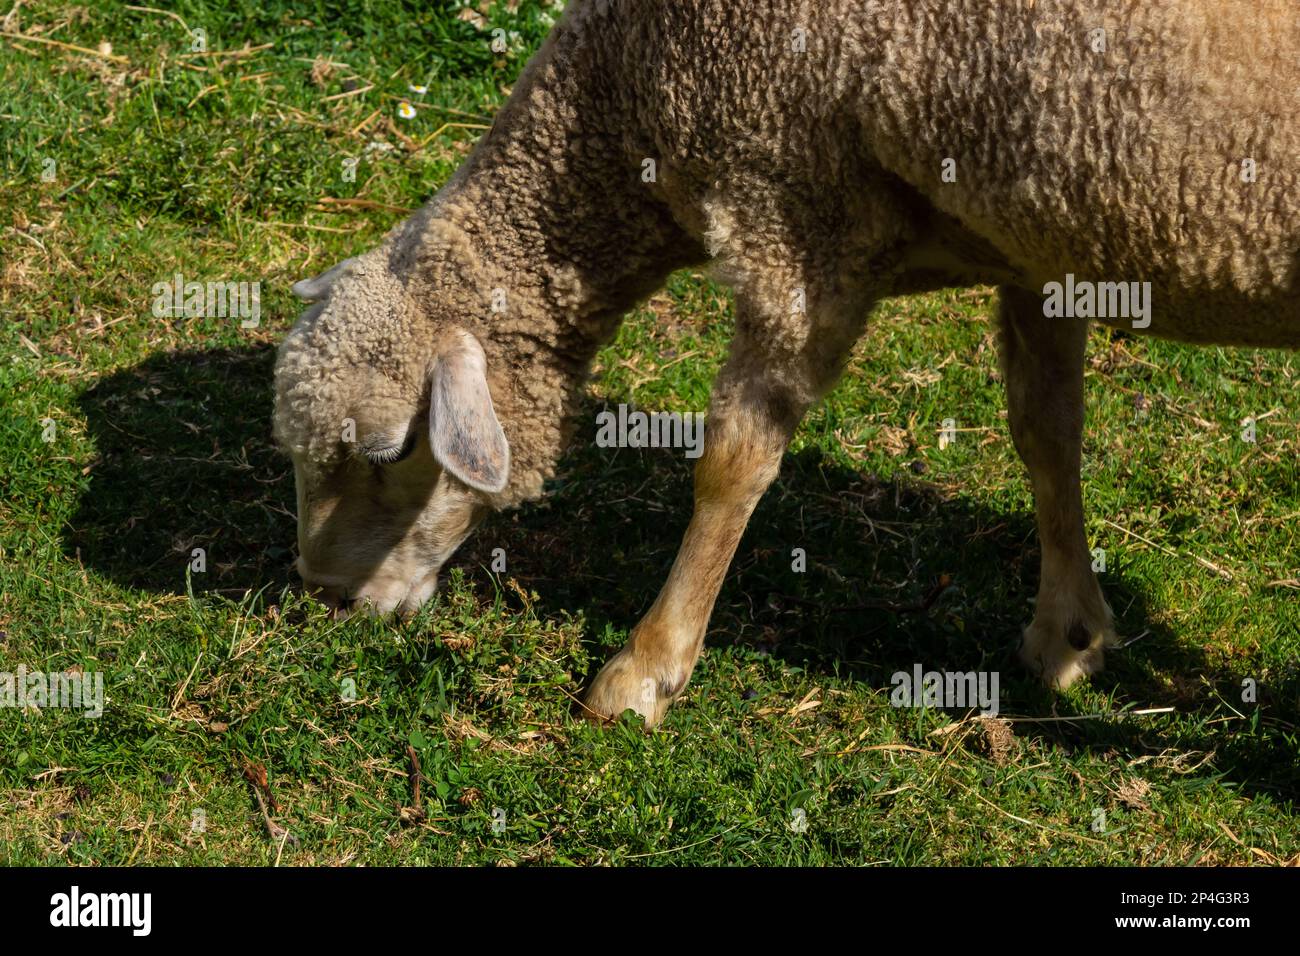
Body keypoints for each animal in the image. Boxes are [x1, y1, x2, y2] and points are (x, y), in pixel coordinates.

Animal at [273, 0, 1299, 727]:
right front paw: (1068, 637)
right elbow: (1046, 433)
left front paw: (644, 674)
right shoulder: (1033, 243)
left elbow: (734, 462)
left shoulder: (793, 212)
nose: (325, 595)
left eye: (389, 454)